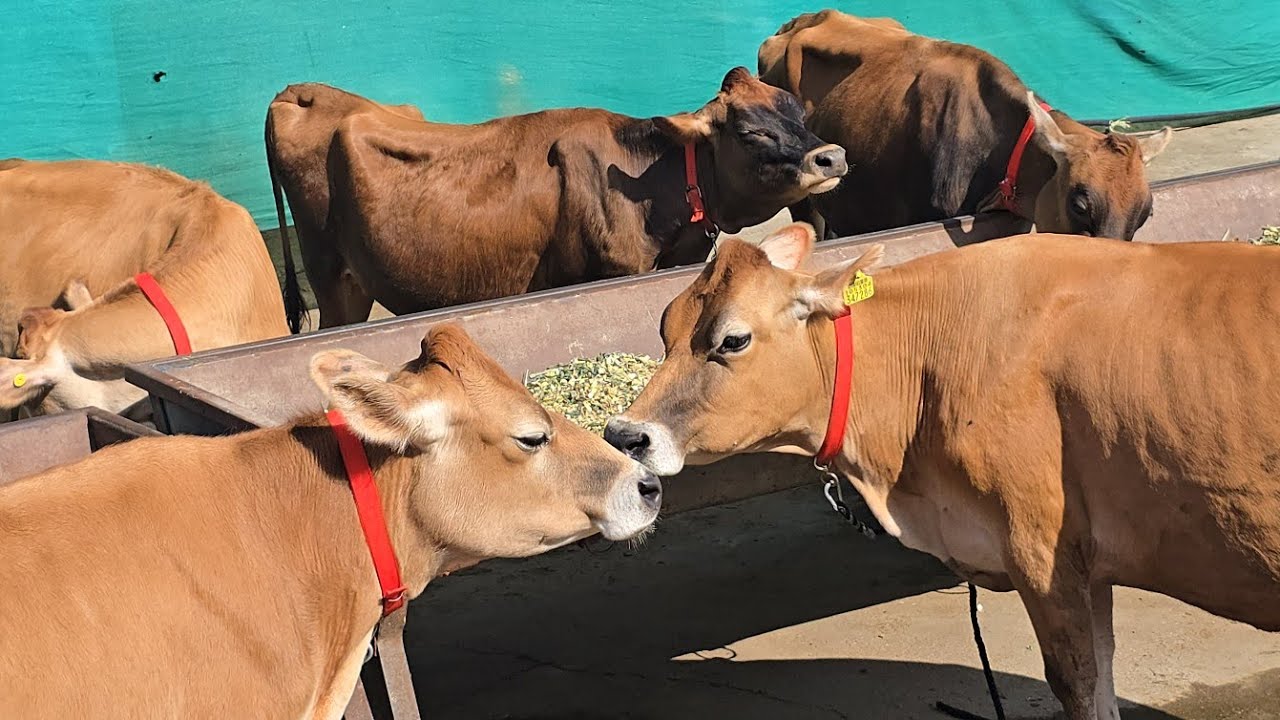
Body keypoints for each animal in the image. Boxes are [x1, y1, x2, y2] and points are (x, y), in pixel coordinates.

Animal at [605, 224, 1280, 720]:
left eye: (733, 340)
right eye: (665, 326)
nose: (625, 435)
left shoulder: (1039, 547)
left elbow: (1079, 683)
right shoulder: (1089, 559)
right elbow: (1105, 672)